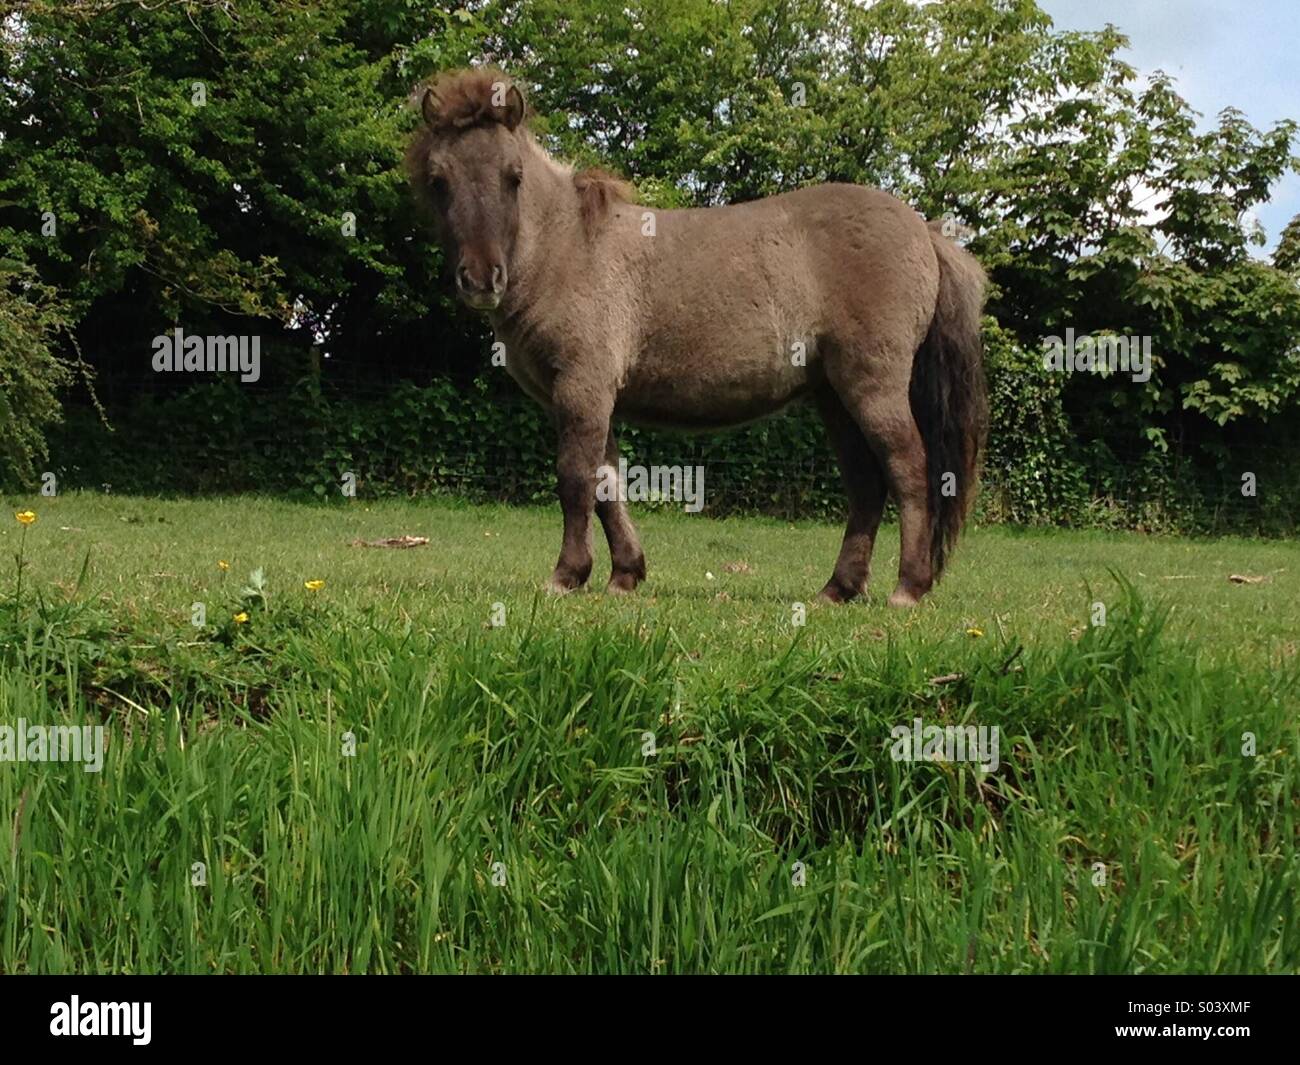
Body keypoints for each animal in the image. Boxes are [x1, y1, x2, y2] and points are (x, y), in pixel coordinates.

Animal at [406, 68, 988, 606]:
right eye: (438, 180)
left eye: (514, 177)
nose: (482, 279)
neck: (568, 250)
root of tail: (925, 232)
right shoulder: (589, 398)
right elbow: (607, 483)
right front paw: (625, 574)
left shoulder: (582, 388)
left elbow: (575, 479)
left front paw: (567, 575)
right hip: (834, 397)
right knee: (866, 486)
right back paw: (837, 589)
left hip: (873, 387)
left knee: (909, 471)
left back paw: (908, 586)